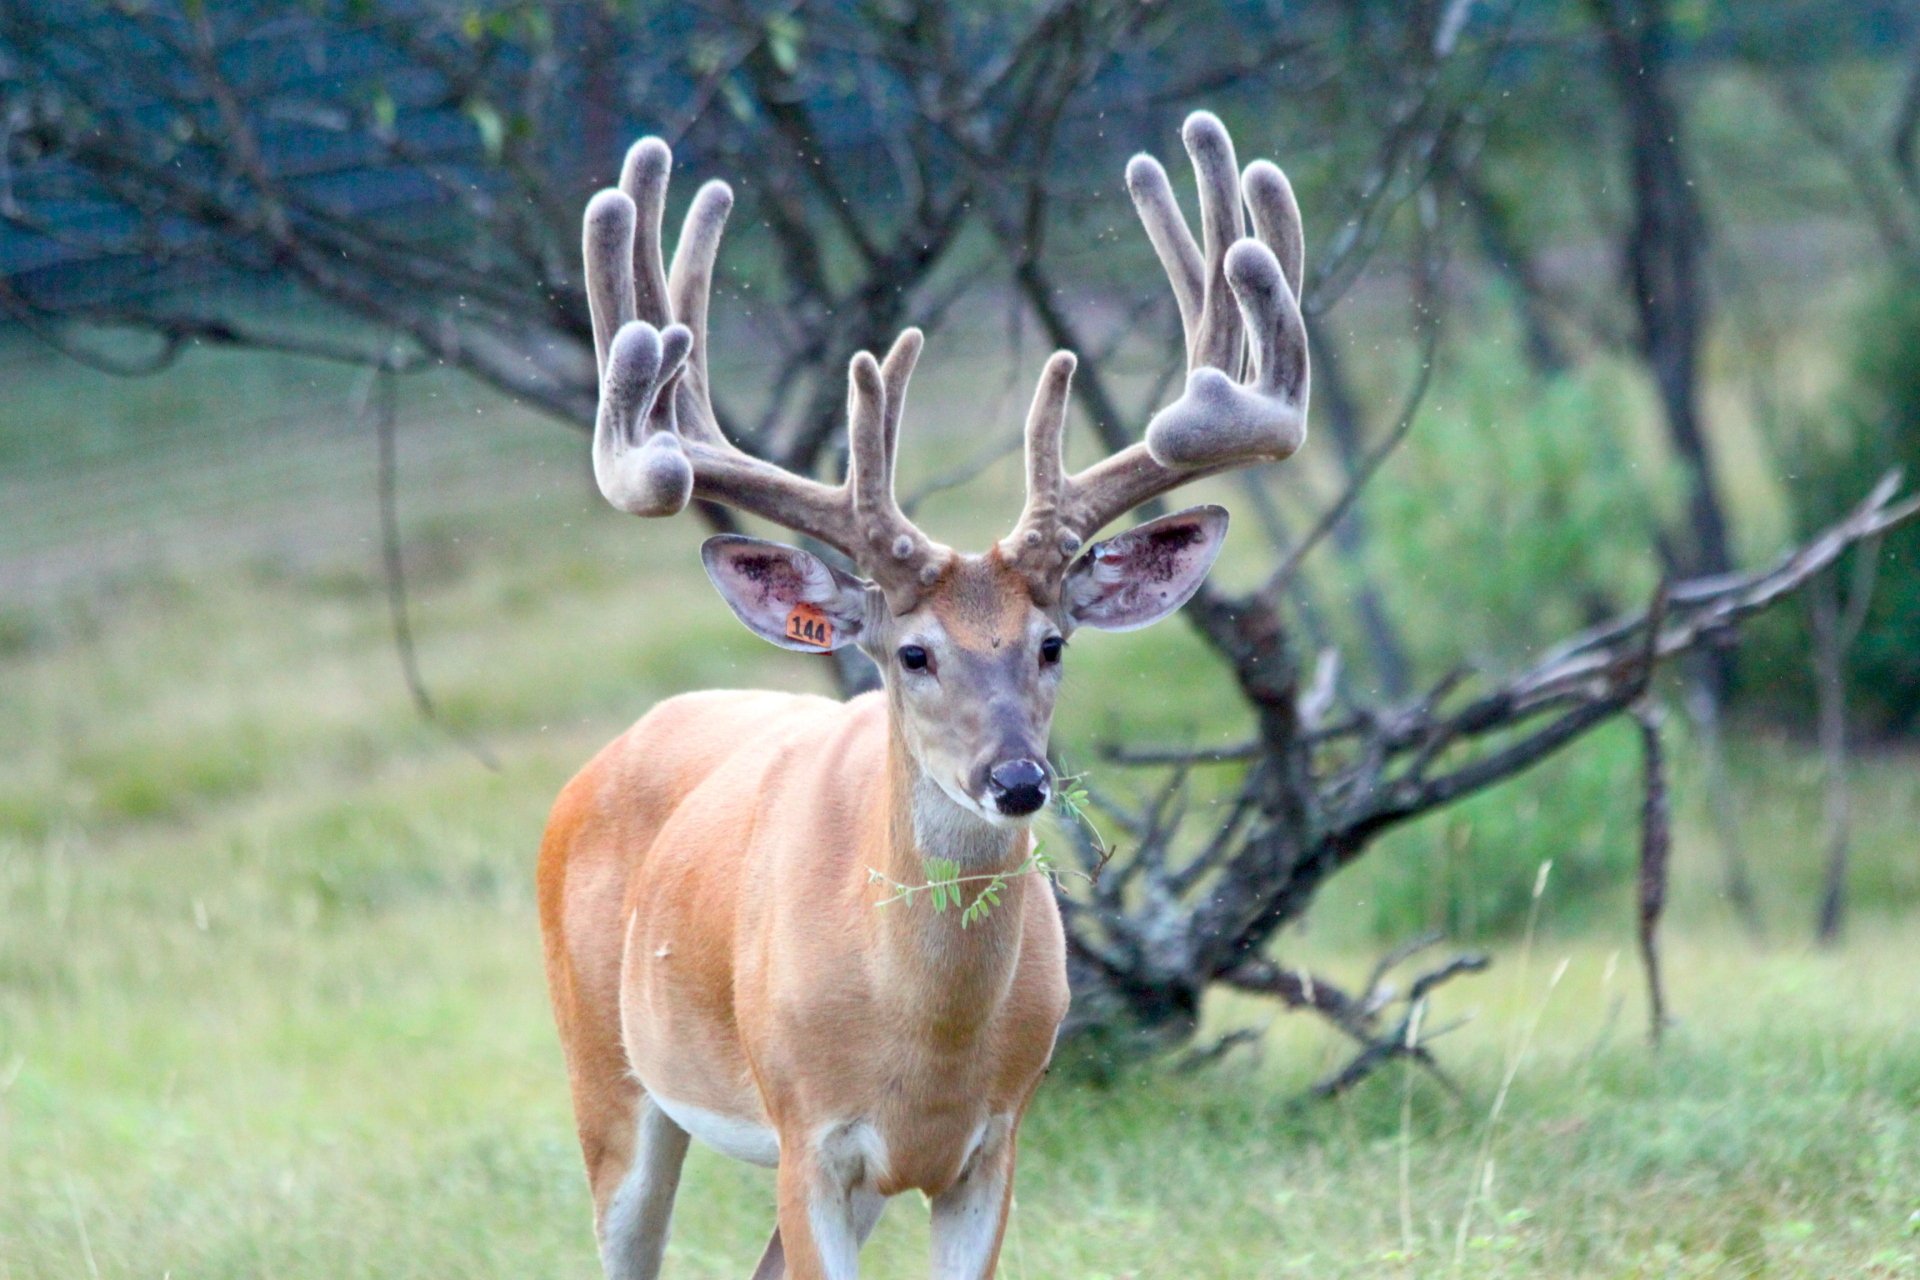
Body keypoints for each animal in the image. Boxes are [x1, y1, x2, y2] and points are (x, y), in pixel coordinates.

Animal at [536, 110, 1310, 1280]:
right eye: (911, 653)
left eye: (1052, 642)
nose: (1017, 779)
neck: (924, 1040)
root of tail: (602, 761)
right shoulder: (809, 1135)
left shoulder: (995, 1142)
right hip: (607, 1072)